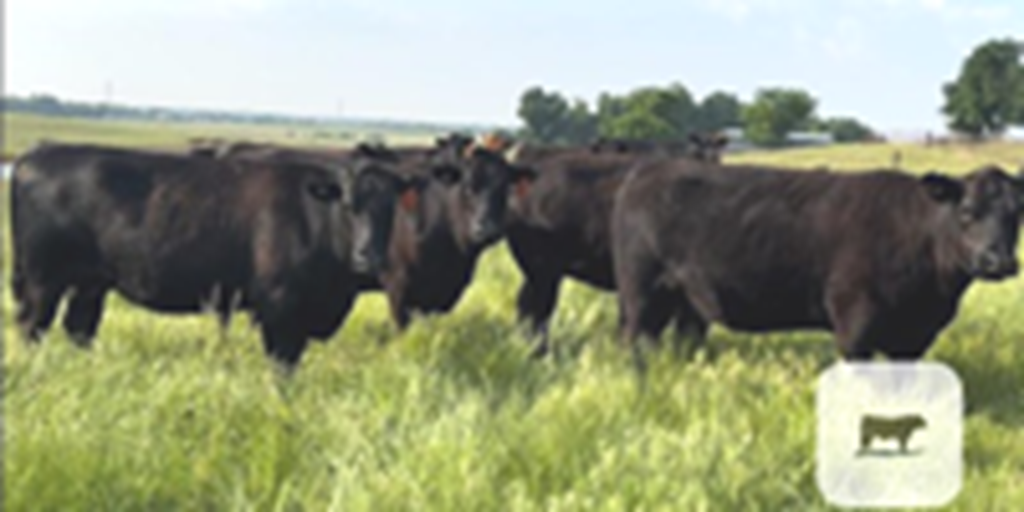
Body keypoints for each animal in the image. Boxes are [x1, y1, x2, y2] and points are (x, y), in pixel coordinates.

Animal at [9, 142, 425, 370]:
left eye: (391, 207)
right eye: (349, 205)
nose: (367, 255)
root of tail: (34, 156)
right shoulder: (280, 310)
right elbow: (283, 368)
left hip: (90, 283)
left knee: (78, 327)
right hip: (41, 280)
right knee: (33, 327)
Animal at [611, 160, 1024, 369]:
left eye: (1017, 214)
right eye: (967, 211)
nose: (998, 261)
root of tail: (646, 173)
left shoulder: (914, 337)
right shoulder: (855, 322)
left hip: (687, 301)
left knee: (681, 338)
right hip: (643, 292)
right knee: (635, 340)